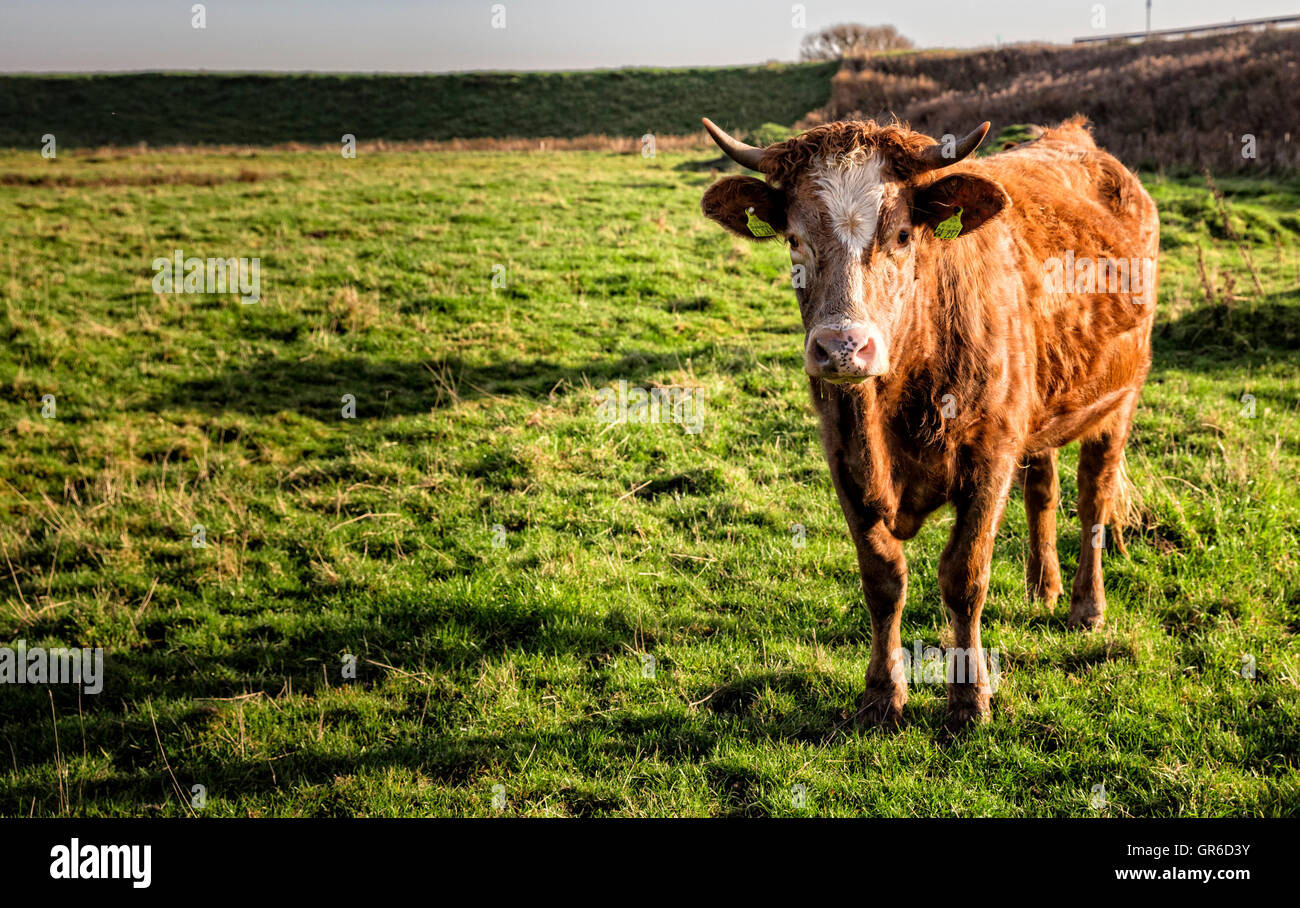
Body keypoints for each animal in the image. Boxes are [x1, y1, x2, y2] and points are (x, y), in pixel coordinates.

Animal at [698, 115, 1158, 729]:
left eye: (900, 236)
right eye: (794, 239)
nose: (843, 347)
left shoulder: (990, 454)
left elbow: (964, 576)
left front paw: (969, 698)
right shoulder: (844, 460)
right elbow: (882, 578)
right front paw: (880, 693)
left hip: (1119, 400)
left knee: (1093, 501)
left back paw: (1086, 606)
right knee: (1044, 490)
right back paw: (1044, 588)